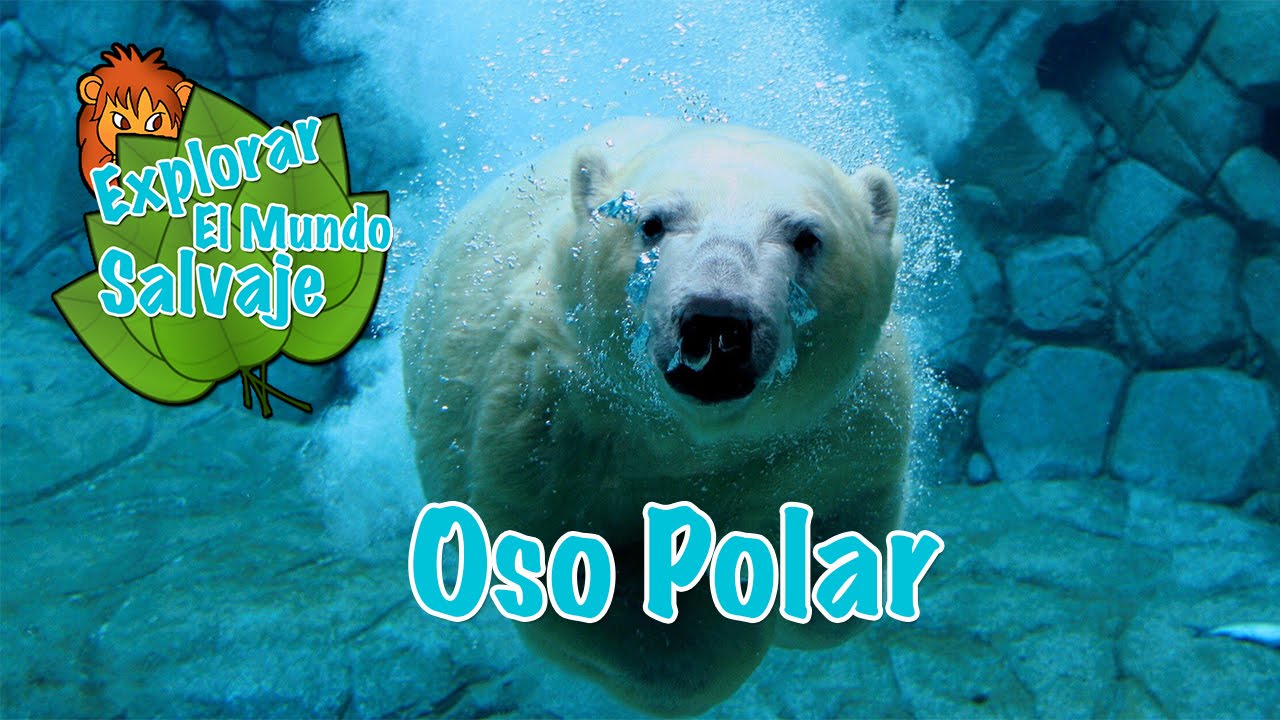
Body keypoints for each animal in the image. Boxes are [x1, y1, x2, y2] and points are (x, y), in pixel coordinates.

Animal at [402, 117, 909, 716]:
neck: (687, 440)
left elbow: (842, 560)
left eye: (807, 236)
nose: (716, 321)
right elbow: (578, 596)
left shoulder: (837, 432)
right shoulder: (550, 434)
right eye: (651, 223)